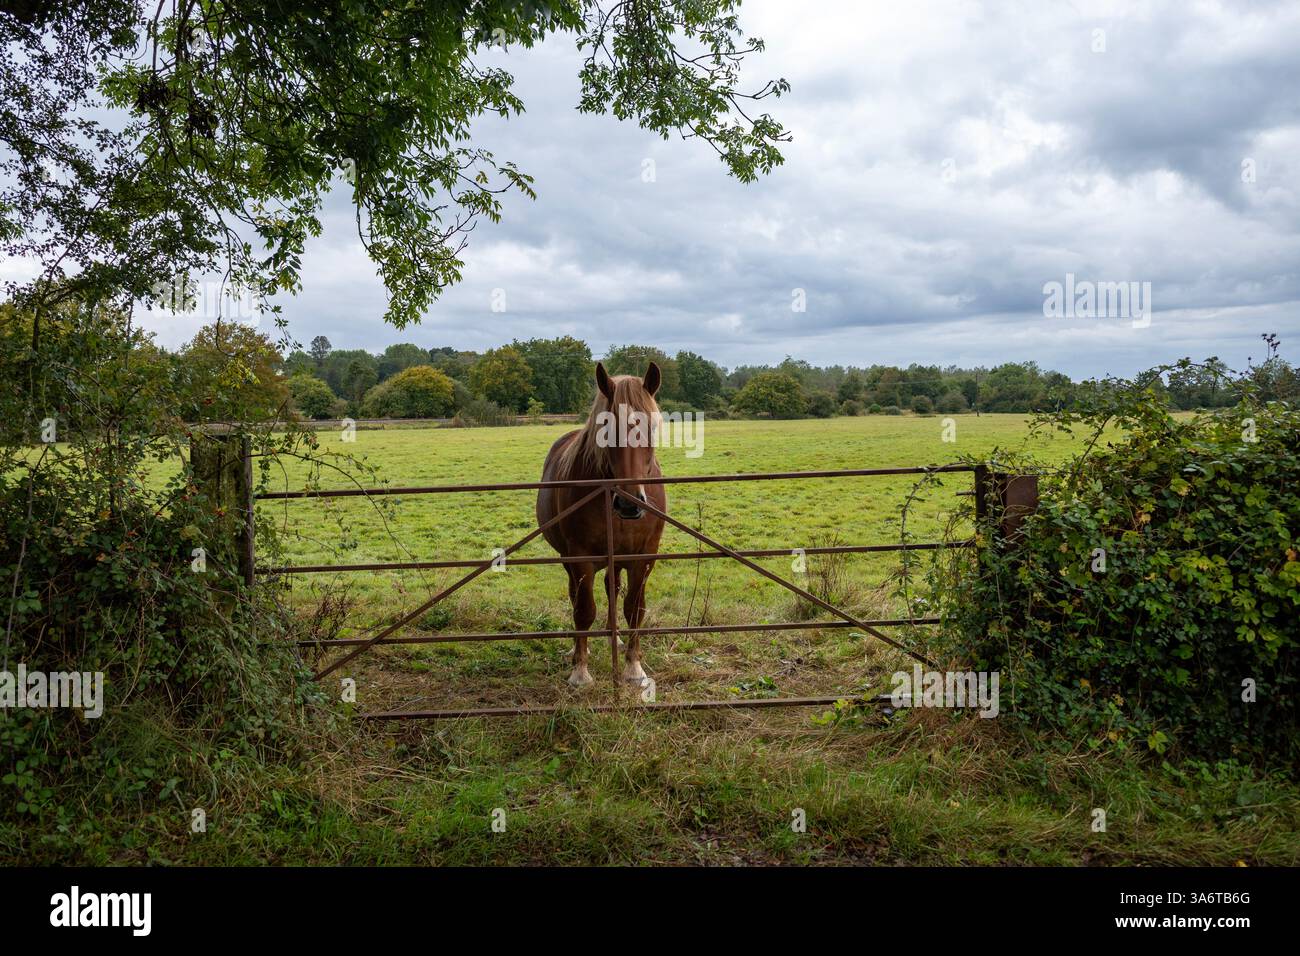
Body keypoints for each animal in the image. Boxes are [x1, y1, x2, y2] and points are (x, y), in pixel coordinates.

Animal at [537, 361, 667, 688]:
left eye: (652, 427)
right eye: (606, 429)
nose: (629, 504)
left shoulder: (643, 559)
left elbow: (634, 608)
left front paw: (634, 667)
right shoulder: (580, 558)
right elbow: (584, 610)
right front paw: (580, 671)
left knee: (612, 587)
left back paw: (614, 637)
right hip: (568, 559)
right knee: (576, 595)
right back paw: (576, 648)